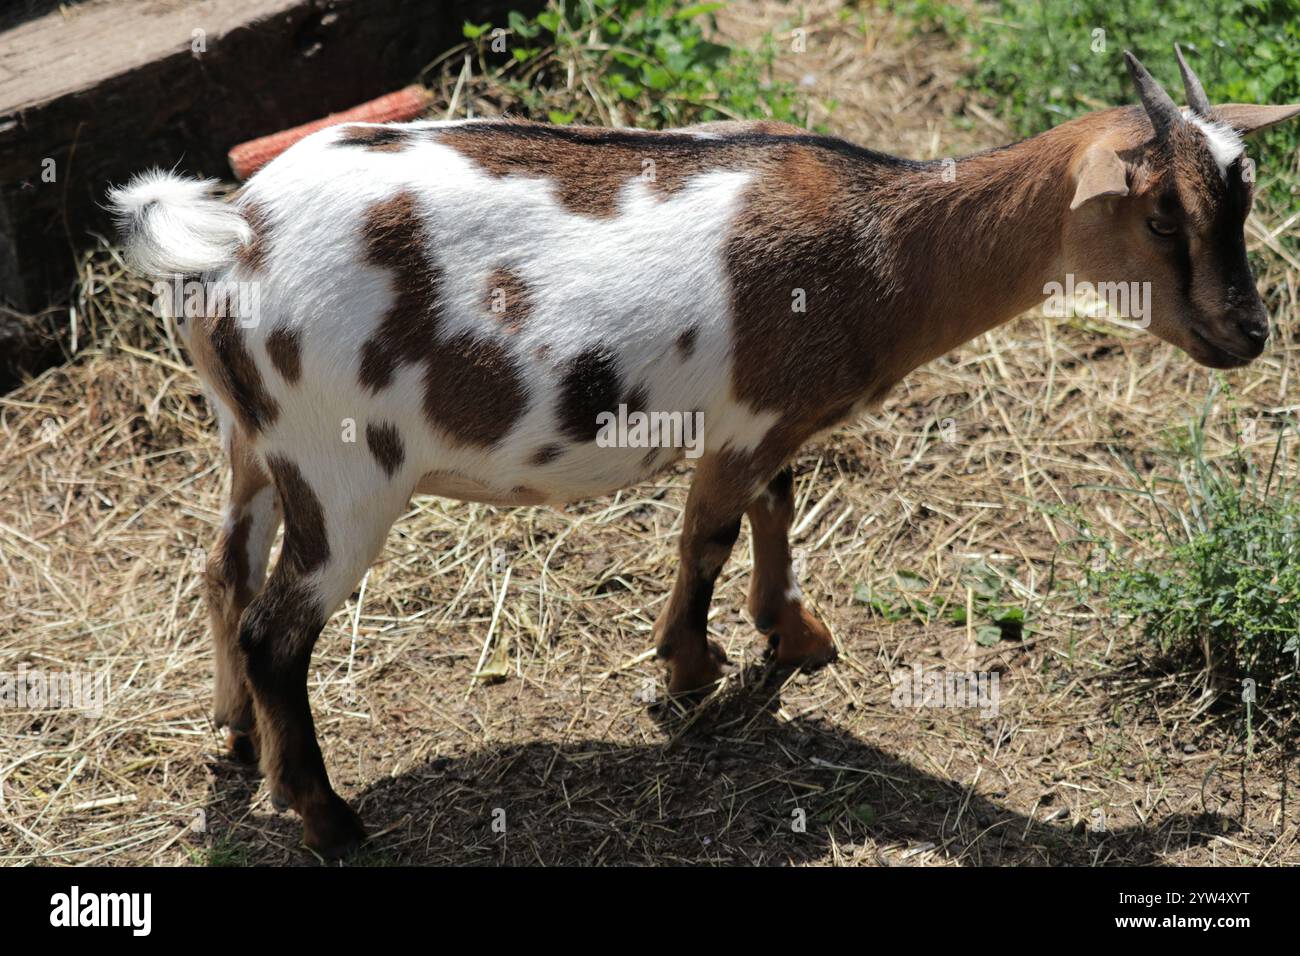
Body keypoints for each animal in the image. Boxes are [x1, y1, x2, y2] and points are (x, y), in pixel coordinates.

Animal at [110, 49, 1299, 856]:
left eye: (1241, 201)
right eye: (1161, 217)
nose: (1247, 334)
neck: (884, 245)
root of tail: (231, 237)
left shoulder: (768, 420)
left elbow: (776, 506)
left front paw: (794, 634)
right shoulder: (745, 422)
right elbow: (712, 533)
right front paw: (691, 669)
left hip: (255, 443)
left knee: (220, 572)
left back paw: (236, 741)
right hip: (345, 469)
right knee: (276, 630)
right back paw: (327, 814)